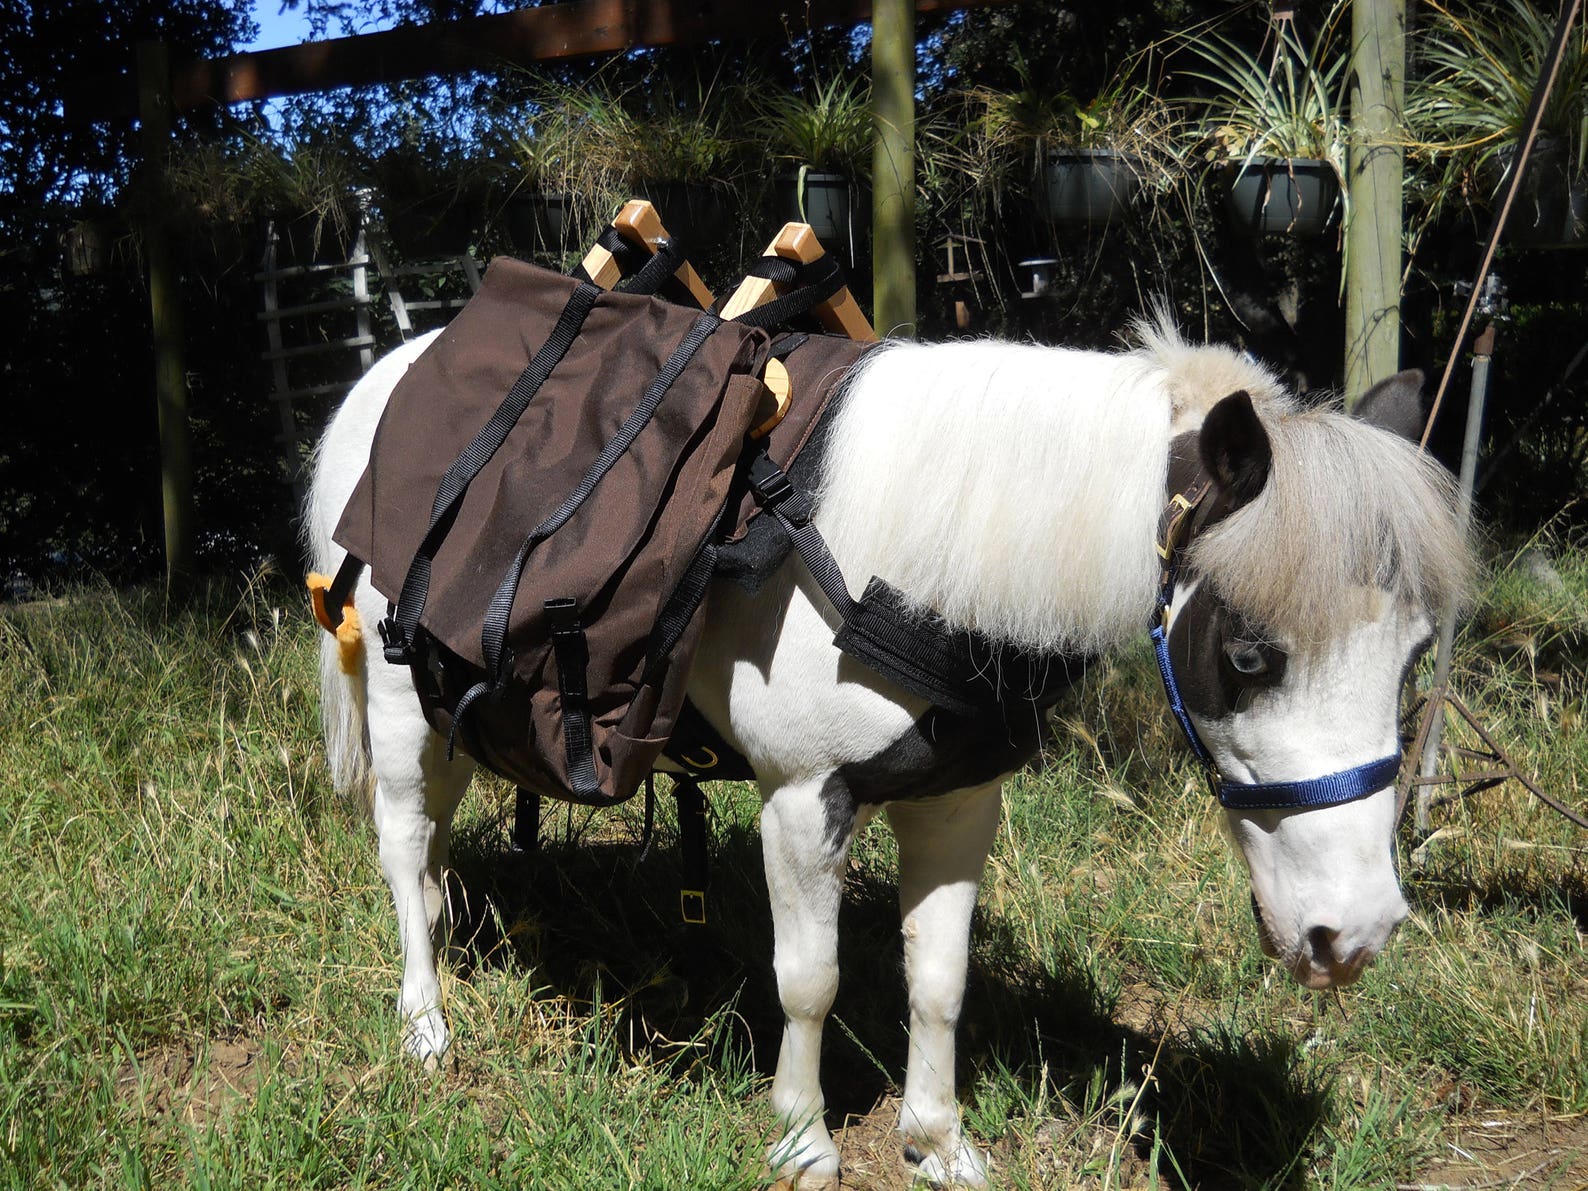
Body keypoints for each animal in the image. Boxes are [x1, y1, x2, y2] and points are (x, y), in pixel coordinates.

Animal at [304, 312, 1471, 1188]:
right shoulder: (801, 799)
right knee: (403, 848)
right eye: (1247, 652)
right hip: (404, 708)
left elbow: (938, 978)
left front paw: (937, 1139)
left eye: (1417, 653)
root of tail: (387, 383)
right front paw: (801, 1137)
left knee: (435, 851)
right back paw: (424, 1023)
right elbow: (809, 979)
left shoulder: (959, 799)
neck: (925, 551)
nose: (1355, 932)